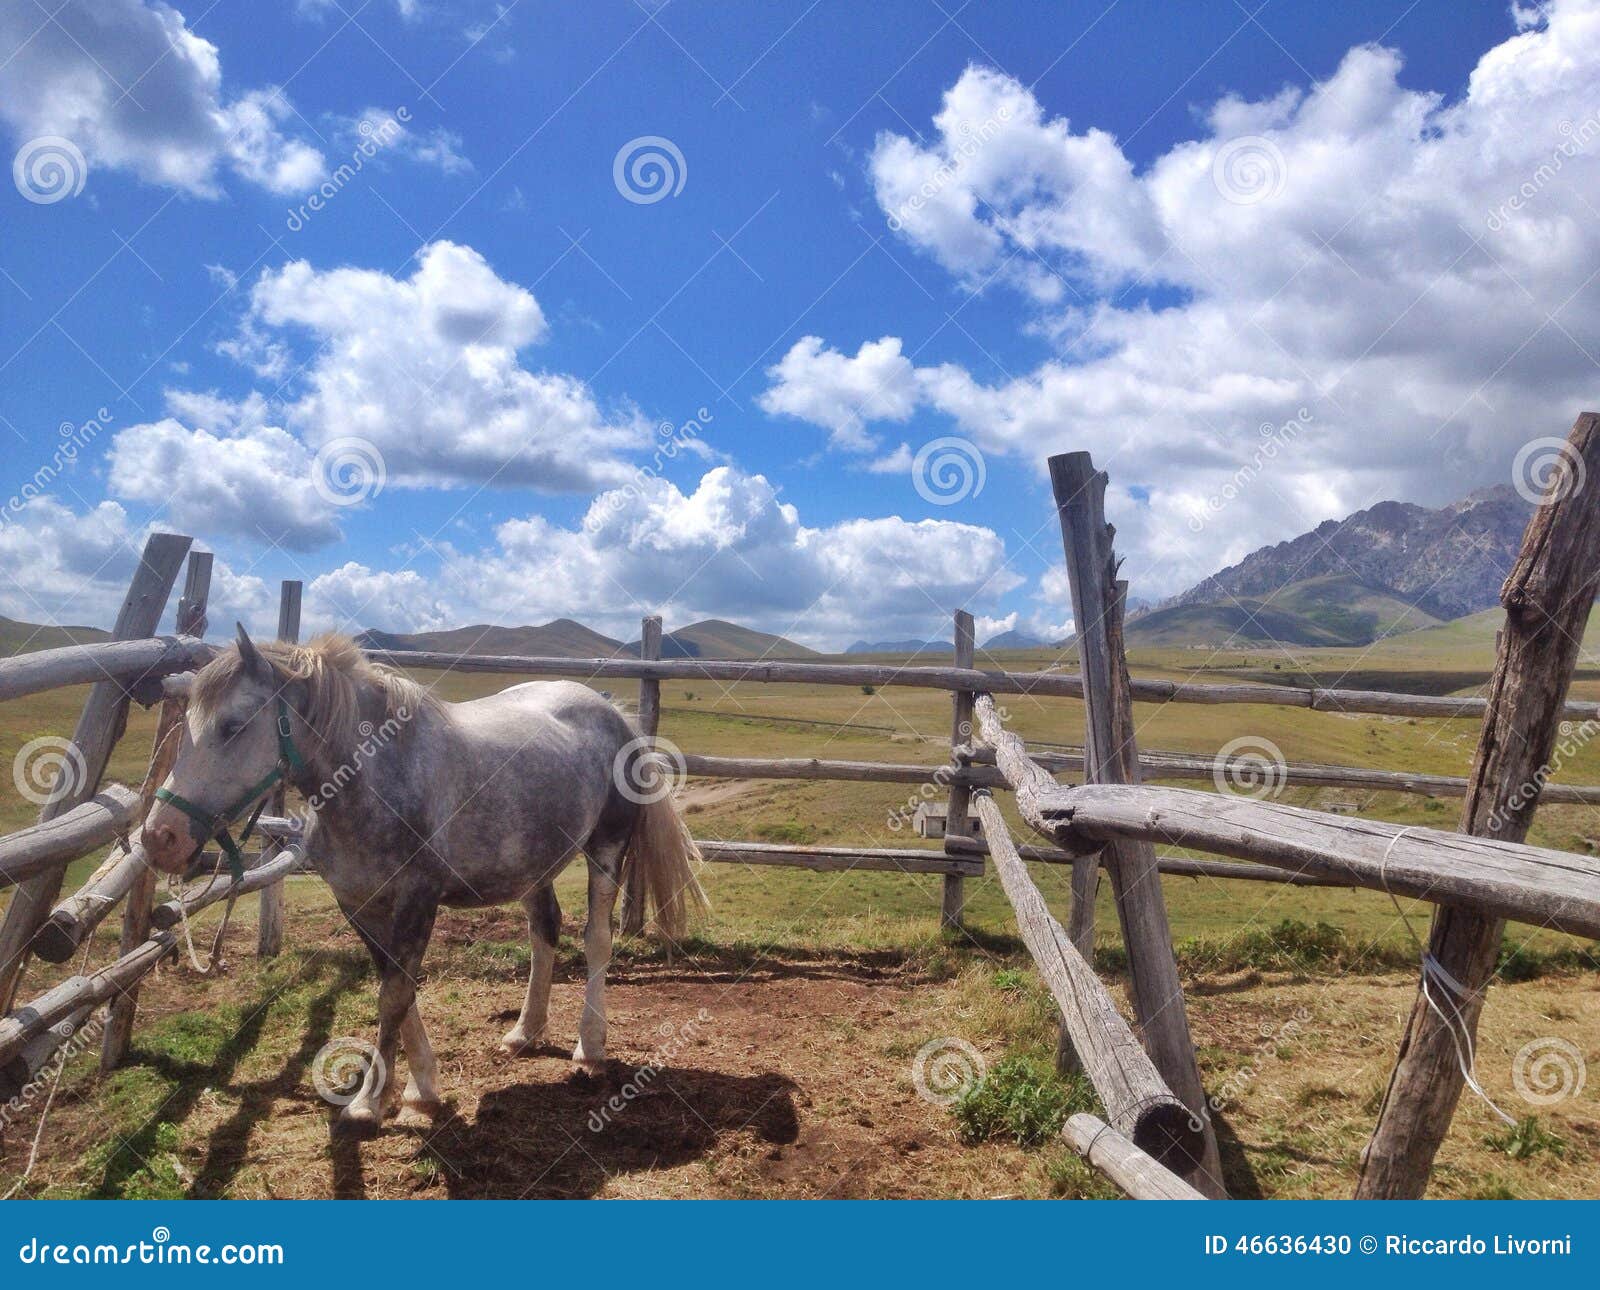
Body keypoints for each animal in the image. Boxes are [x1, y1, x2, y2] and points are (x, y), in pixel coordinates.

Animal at [140, 627, 706, 1135]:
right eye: (184, 726)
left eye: (232, 725)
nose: (159, 837)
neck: (372, 781)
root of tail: (613, 713)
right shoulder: (358, 904)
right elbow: (398, 988)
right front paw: (421, 1090)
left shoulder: (417, 899)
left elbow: (394, 996)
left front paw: (369, 1105)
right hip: (532, 867)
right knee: (544, 932)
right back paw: (523, 1032)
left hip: (606, 849)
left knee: (595, 941)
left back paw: (589, 1050)